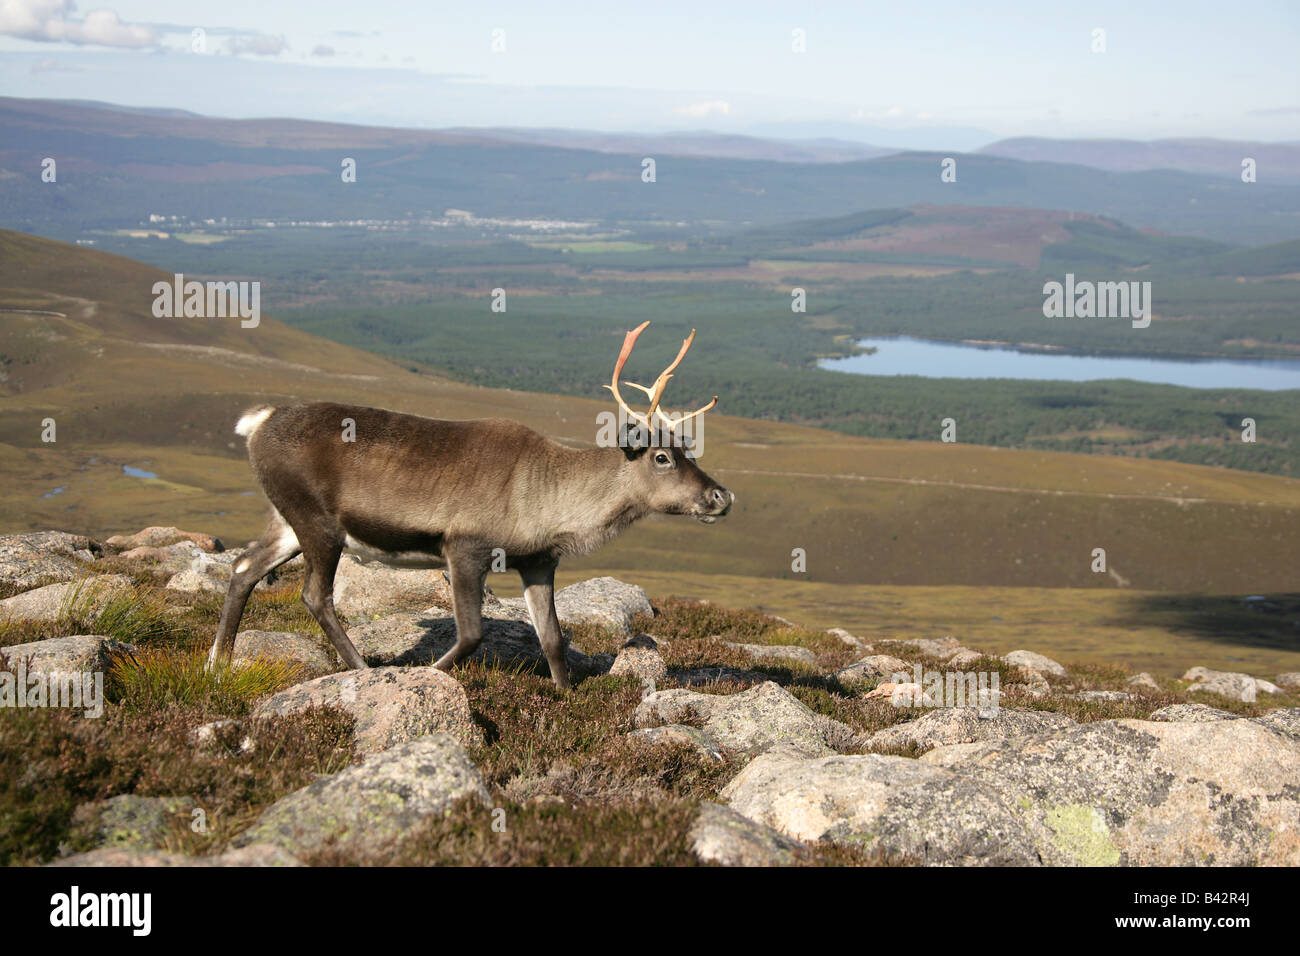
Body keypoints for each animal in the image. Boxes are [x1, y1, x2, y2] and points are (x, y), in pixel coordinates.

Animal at [205, 321, 732, 689]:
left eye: (688, 448)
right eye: (662, 456)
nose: (721, 496)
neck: (549, 497)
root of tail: (256, 422)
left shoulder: (538, 560)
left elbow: (552, 638)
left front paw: (565, 695)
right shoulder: (464, 548)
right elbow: (471, 634)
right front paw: (429, 674)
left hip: (287, 522)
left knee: (243, 568)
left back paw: (219, 663)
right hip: (318, 525)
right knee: (314, 595)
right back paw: (359, 667)